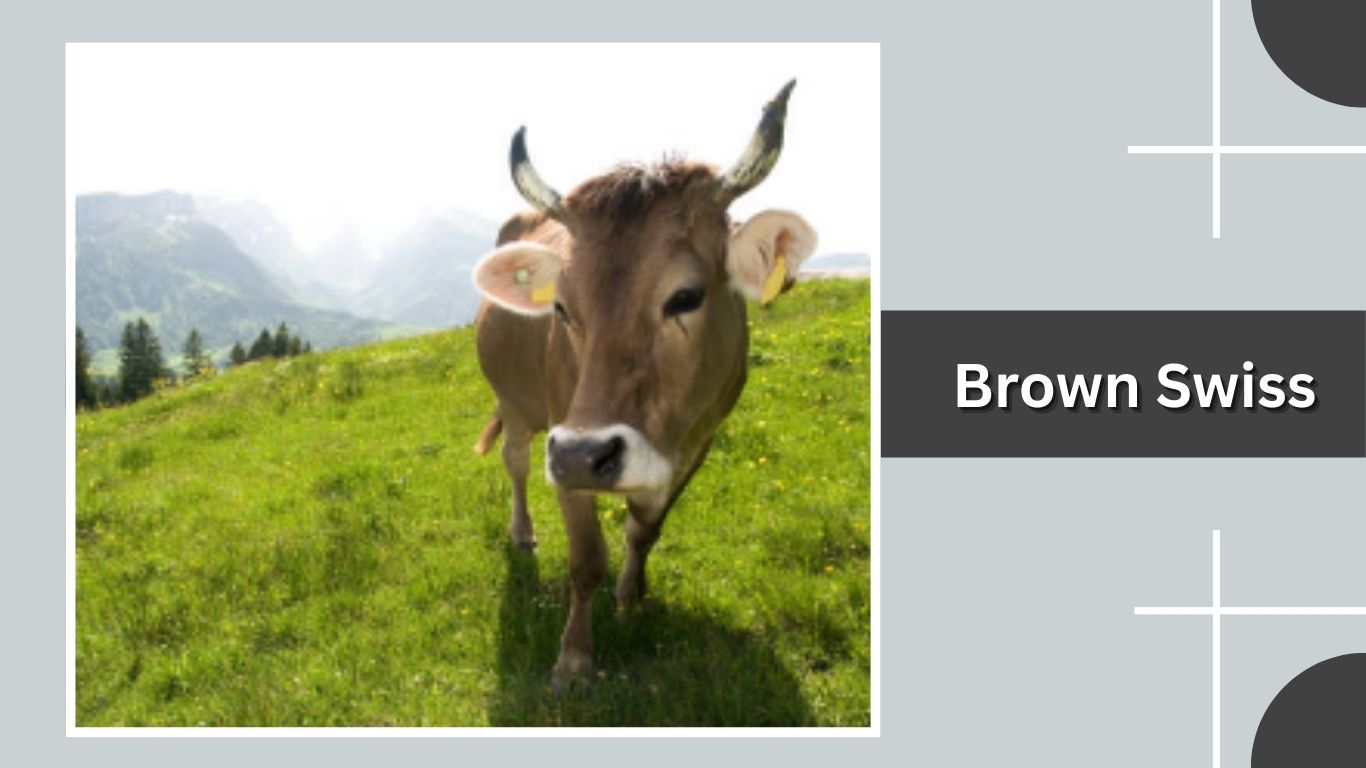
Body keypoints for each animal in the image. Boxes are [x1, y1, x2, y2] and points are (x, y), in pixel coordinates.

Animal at [471, 81, 817, 687]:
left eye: (686, 296)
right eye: (562, 307)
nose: (587, 455)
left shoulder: (697, 443)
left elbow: (644, 530)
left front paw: (632, 598)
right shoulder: (565, 443)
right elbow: (586, 559)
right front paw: (574, 660)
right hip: (513, 403)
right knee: (515, 461)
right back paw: (521, 532)